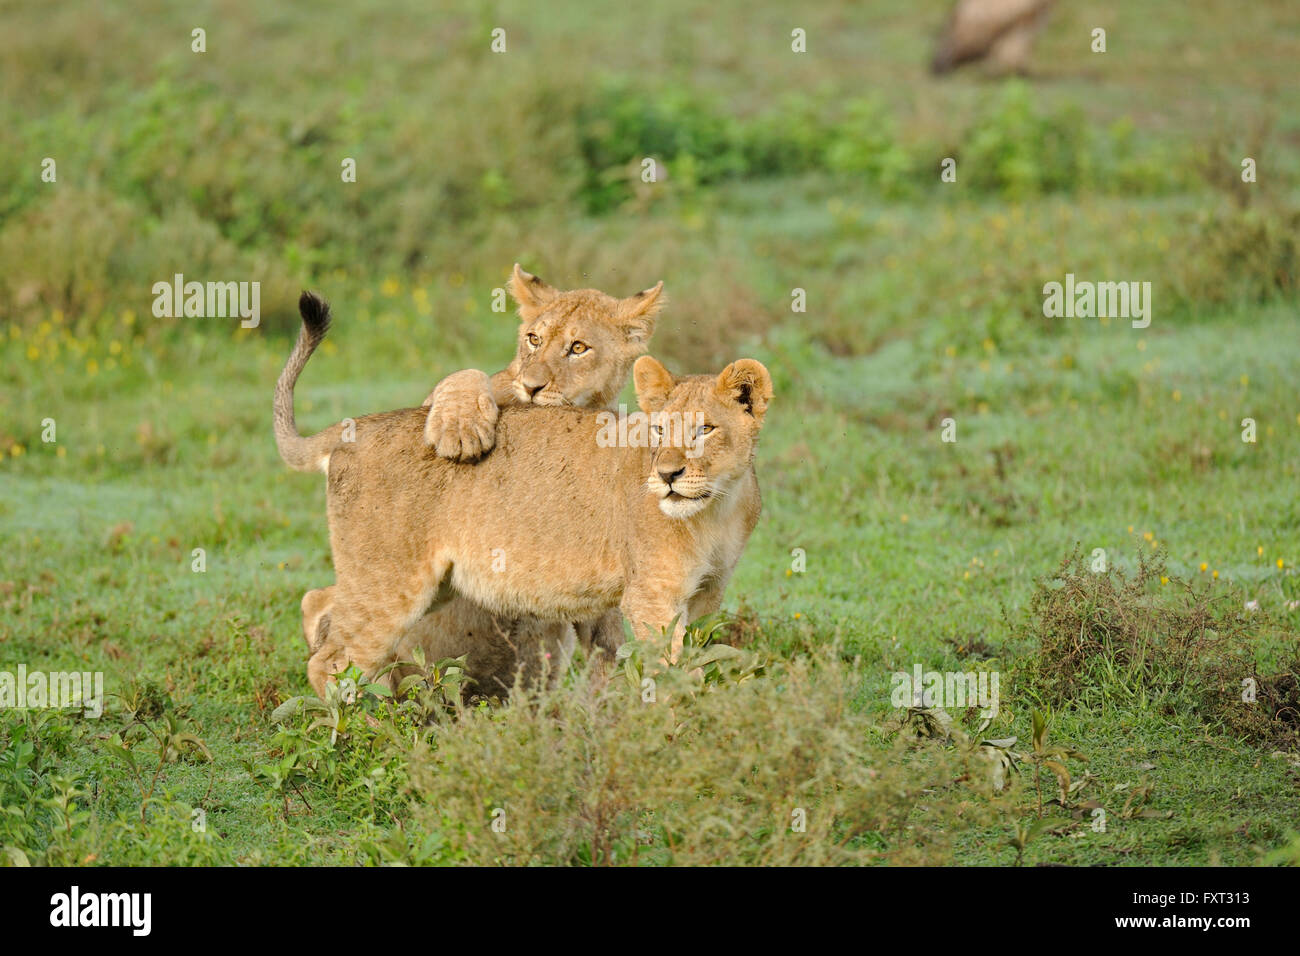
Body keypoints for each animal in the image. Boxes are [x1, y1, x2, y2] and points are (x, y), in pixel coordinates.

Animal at [278, 301, 771, 695]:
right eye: (657, 430)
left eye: (705, 429)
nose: (668, 474)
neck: (718, 506)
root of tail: (353, 429)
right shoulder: (653, 597)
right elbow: (668, 671)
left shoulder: (705, 597)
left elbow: (697, 658)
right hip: (389, 583)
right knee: (331, 662)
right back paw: (369, 730)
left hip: (432, 584)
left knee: (320, 604)